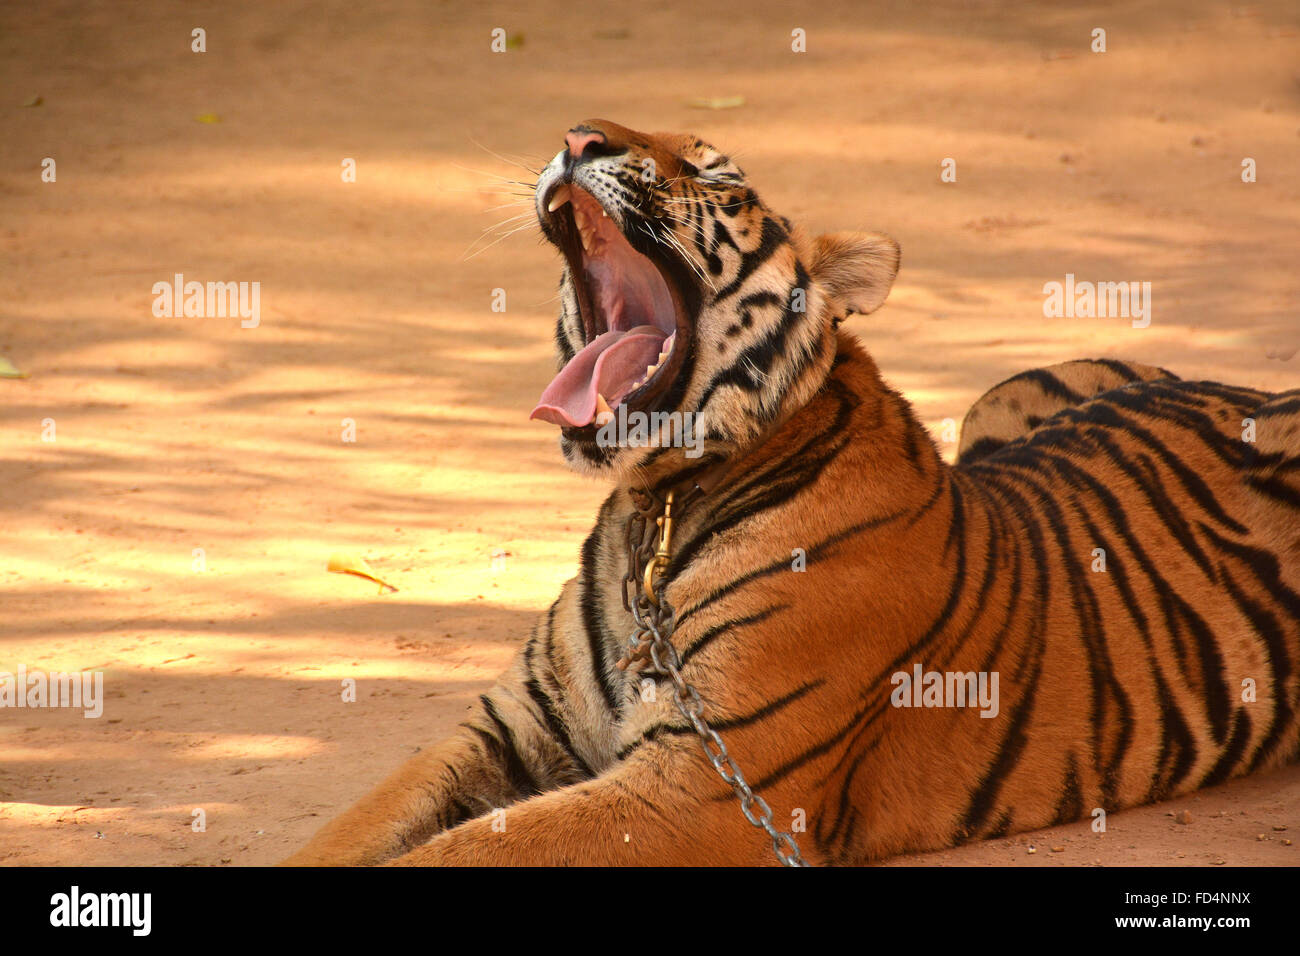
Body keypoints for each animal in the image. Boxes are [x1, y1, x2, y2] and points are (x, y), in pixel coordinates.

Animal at [283, 119, 1300, 866]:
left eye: (717, 179)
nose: (577, 138)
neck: (654, 504)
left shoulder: (701, 784)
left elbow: (459, 853)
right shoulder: (509, 730)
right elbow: (355, 827)